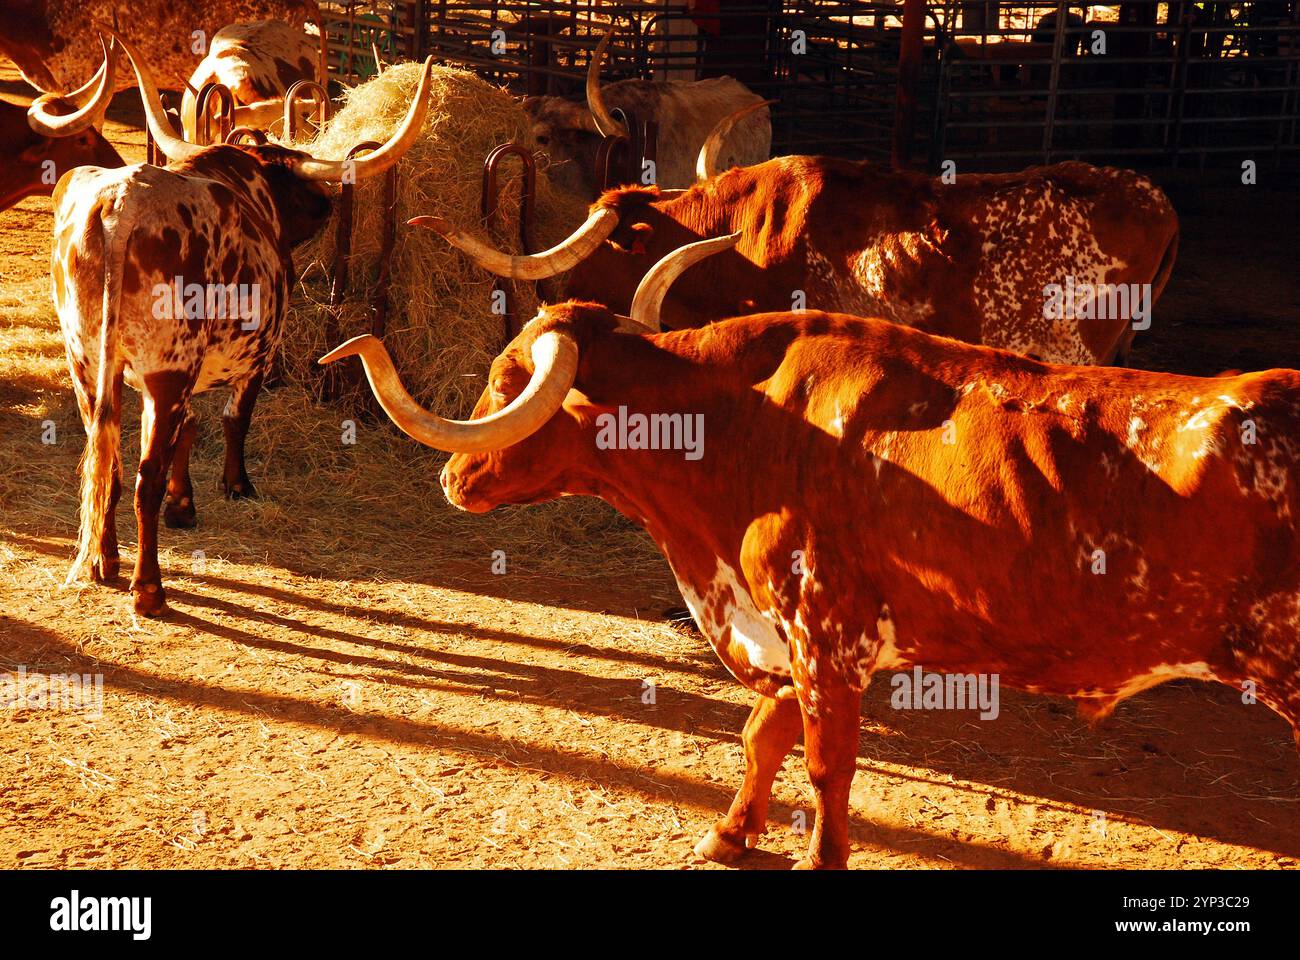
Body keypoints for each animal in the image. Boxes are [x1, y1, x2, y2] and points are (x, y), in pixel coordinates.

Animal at [55, 32, 432, 616]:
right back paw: (148, 589)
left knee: (108, 460)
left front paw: (184, 504)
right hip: (167, 372)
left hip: (88, 365)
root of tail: (122, 208)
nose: (326, 206)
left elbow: (189, 429)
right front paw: (236, 486)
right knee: (142, 478)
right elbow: (235, 420)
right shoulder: (259, 355)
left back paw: (105, 562)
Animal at [323, 300, 1300, 869]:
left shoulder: (827, 633)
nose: (452, 478)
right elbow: (762, 736)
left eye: (506, 376)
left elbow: (828, 767)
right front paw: (729, 831)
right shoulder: (786, 635)